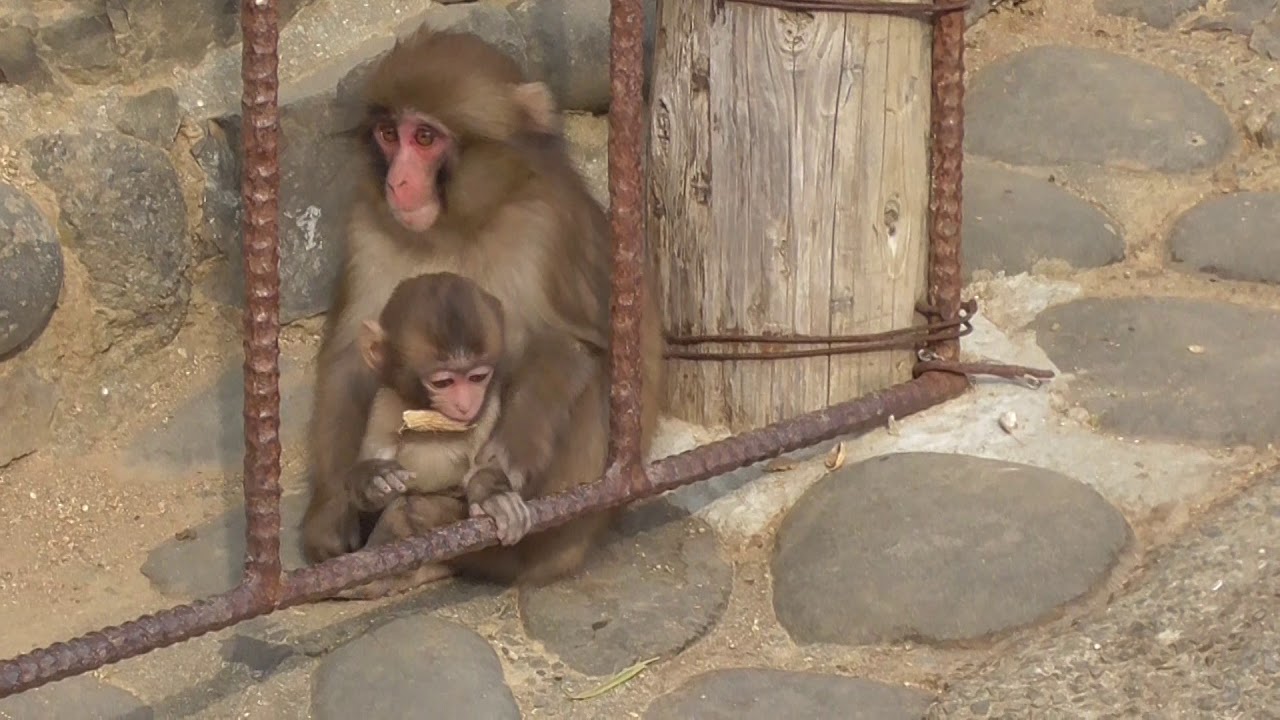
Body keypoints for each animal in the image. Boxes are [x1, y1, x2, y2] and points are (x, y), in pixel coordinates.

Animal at [300, 26, 666, 589]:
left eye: (424, 138)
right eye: (388, 135)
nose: (398, 182)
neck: (456, 224)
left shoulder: (545, 227)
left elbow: (565, 345)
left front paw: (493, 481)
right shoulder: (367, 227)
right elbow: (350, 360)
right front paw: (335, 506)